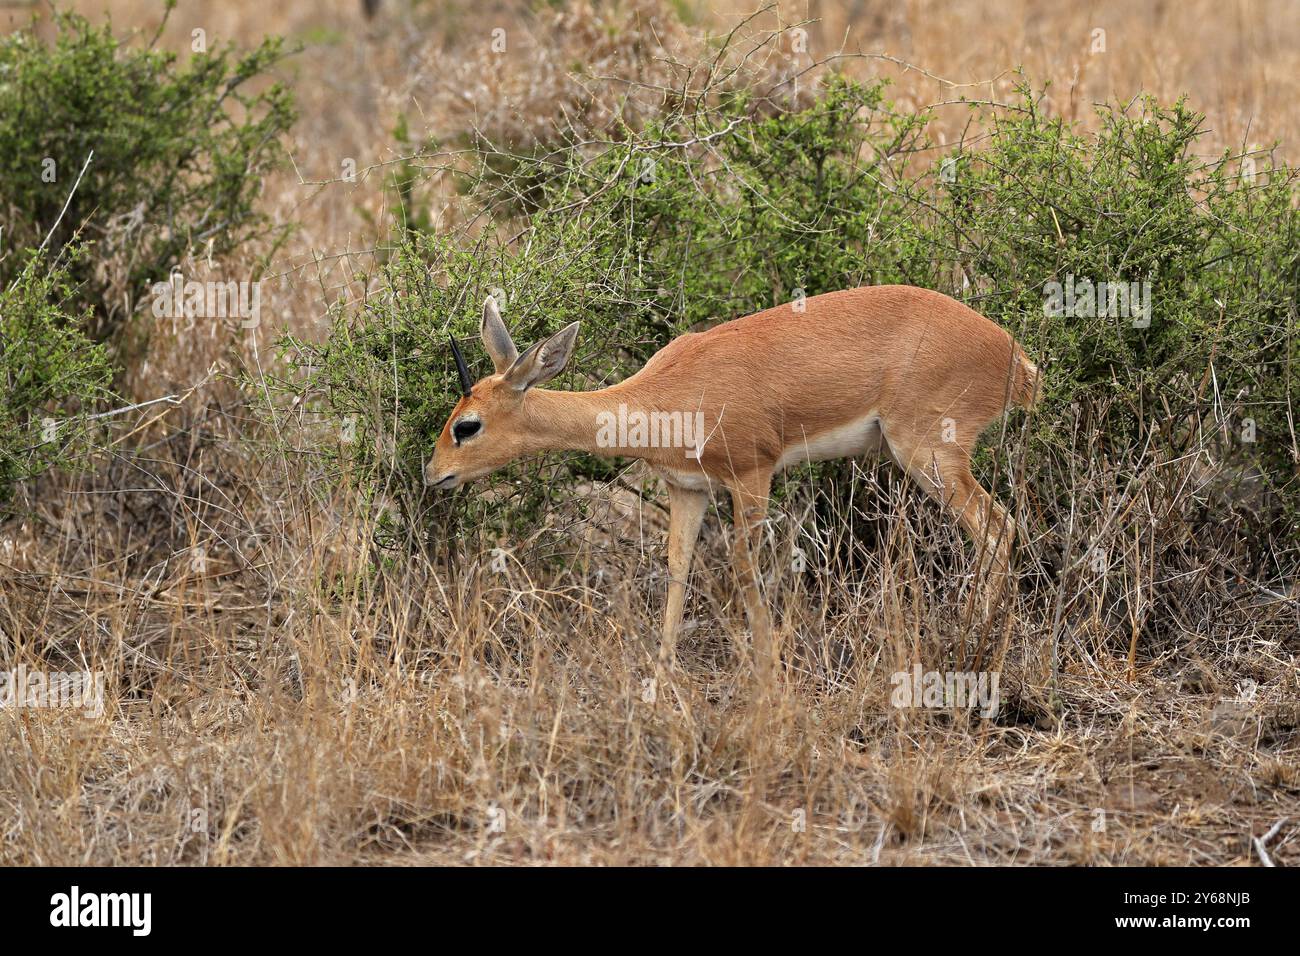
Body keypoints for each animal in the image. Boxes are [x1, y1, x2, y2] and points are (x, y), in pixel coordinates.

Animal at [426, 287, 1040, 680]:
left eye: (467, 425)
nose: (433, 476)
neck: (664, 396)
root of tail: (1018, 359)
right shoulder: (688, 489)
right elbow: (677, 568)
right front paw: (661, 678)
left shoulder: (751, 474)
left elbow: (746, 570)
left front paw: (767, 674)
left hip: (928, 453)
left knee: (998, 527)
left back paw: (973, 647)